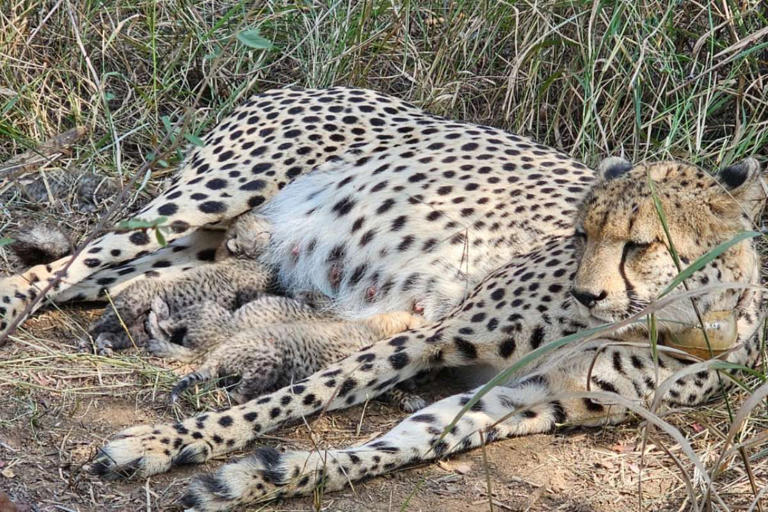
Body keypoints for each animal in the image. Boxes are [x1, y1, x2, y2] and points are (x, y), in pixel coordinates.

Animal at [0, 87, 762, 511]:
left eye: (641, 244)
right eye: (582, 232)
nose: (586, 289)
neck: (677, 324)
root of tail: (299, 83)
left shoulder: (528, 399)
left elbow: (399, 444)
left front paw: (265, 478)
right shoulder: (435, 334)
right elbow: (300, 397)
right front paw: (171, 442)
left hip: (203, 249)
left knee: (105, 280)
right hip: (203, 200)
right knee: (61, 267)